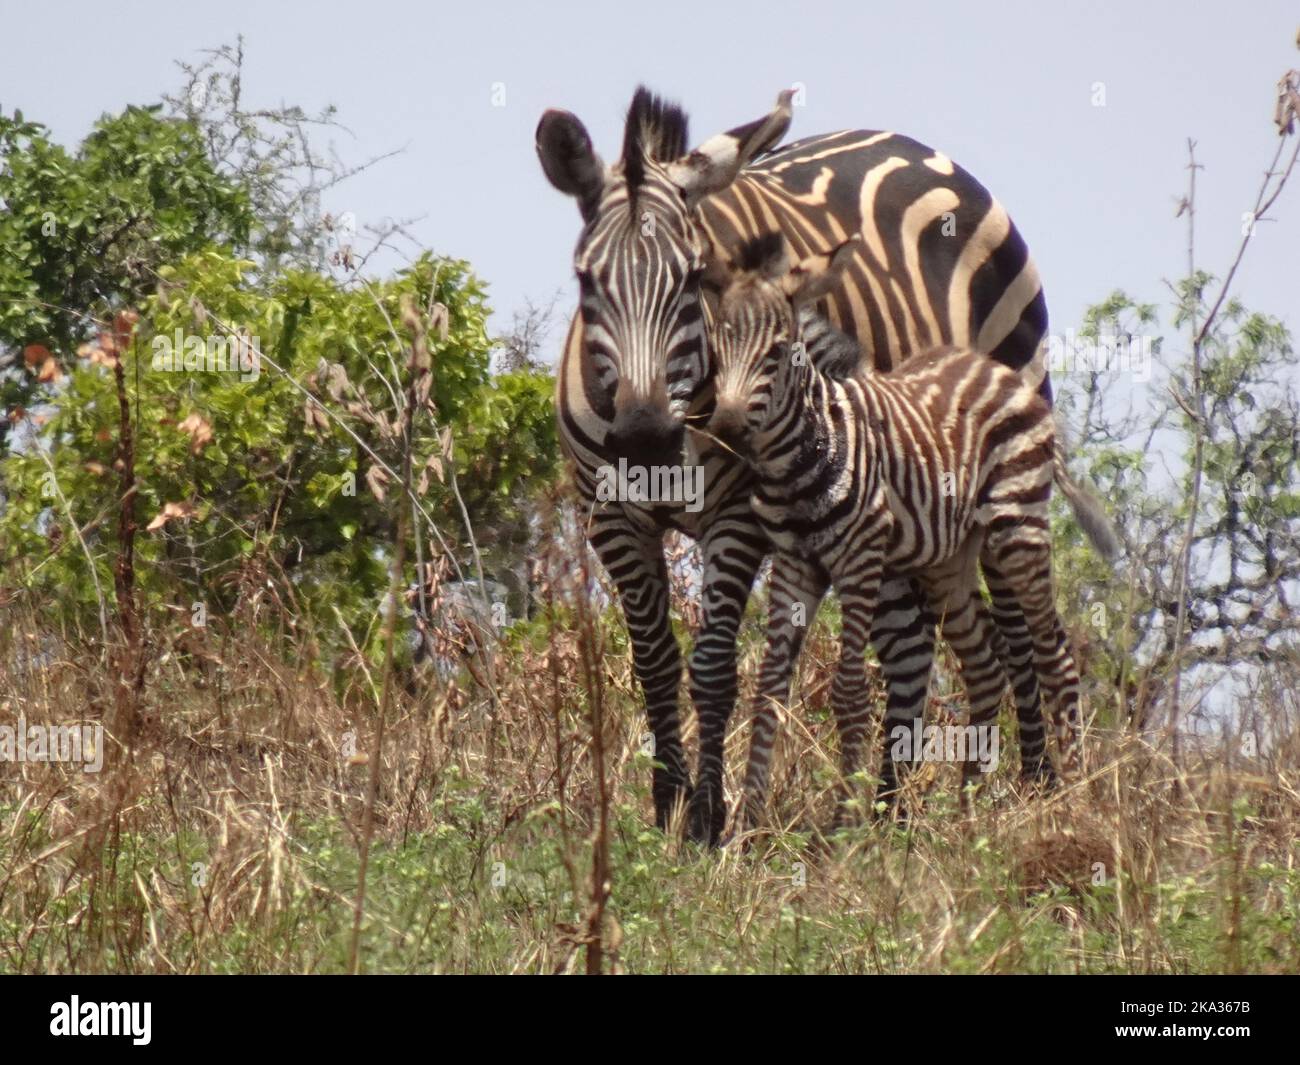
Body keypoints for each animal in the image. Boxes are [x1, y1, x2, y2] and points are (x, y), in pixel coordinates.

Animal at [537, 85, 1056, 845]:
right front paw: (666, 806)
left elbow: (714, 665)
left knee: (1019, 626)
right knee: (912, 645)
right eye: (585, 280)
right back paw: (890, 810)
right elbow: (655, 662)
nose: (648, 440)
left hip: (1001, 467)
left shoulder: (741, 516)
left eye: (691, 280)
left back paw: (1033, 786)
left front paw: (708, 818)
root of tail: (904, 141)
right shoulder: (610, 517)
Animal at [704, 232, 1117, 827]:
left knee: (1055, 654)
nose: (727, 428)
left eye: (777, 353)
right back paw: (969, 814)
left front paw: (843, 826)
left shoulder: (860, 557)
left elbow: (851, 690)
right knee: (985, 667)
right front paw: (750, 828)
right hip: (946, 561)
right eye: (717, 347)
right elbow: (768, 690)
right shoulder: (794, 565)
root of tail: (999, 371)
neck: (803, 455)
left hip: (1017, 530)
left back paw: (1076, 797)